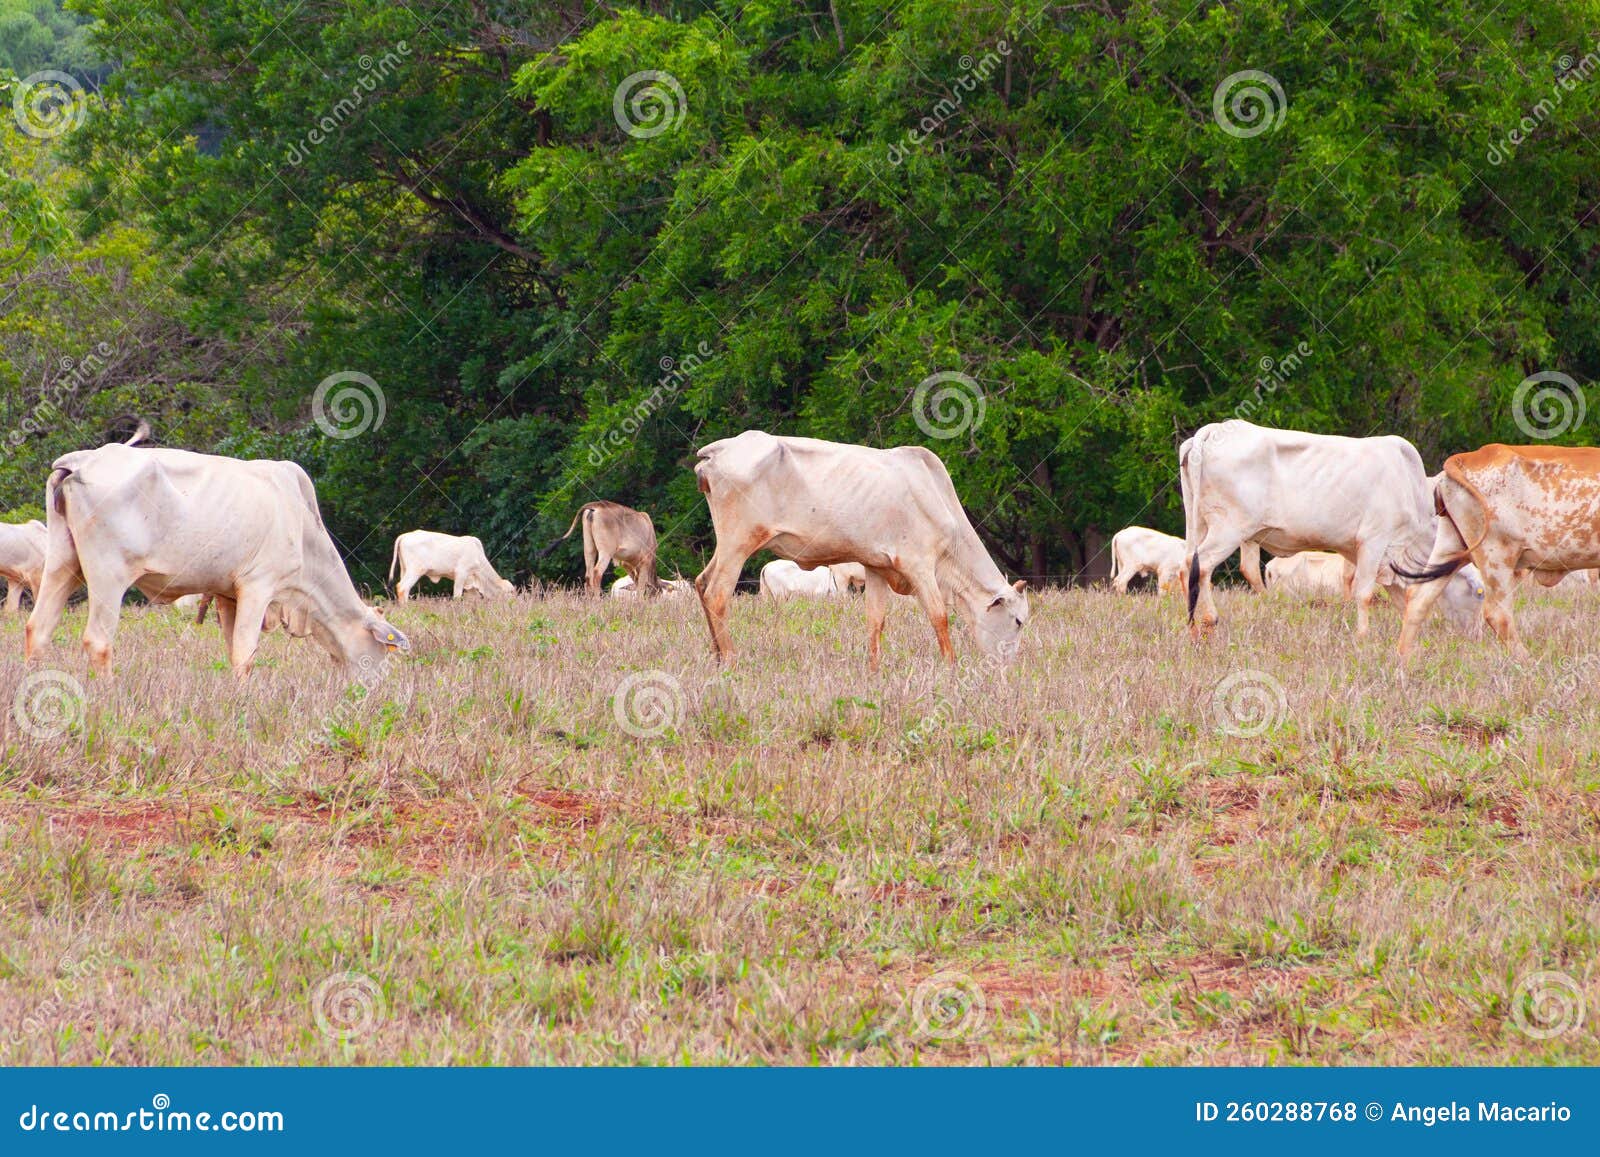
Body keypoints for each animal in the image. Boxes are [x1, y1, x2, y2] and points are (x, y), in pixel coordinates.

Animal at [25, 430, 407, 678]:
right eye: (380, 651)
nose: (372, 690)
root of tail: (82, 461)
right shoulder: (258, 587)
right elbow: (244, 654)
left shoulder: (227, 594)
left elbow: (232, 648)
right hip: (108, 576)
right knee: (98, 642)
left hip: (62, 565)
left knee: (37, 630)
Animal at [691, 431, 1028, 668]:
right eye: (1018, 621)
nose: (1008, 667)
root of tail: (718, 450)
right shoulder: (919, 565)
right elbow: (939, 616)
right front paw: (952, 667)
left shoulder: (877, 568)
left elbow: (875, 621)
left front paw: (874, 670)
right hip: (739, 541)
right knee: (717, 594)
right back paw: (731, 659)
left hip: (727, 544)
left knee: (702, 583)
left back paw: (716, 657)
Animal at [1180, 421, 1434, 638]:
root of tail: (1215, 428)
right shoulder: (1373, 541)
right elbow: (1364, 592)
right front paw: (1363, 636)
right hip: (1229, 528)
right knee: (1202, 565)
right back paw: (1208, 621)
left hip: (1198, 523)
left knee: (1188, 565)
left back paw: (1193, 628)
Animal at [1398, 445, 1600, 659]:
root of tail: (1472, 455)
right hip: (1496, 556)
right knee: (1497, 614)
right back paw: (1527, 660)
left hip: (1450, 546)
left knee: (1419, 599)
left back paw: (1404, 660)